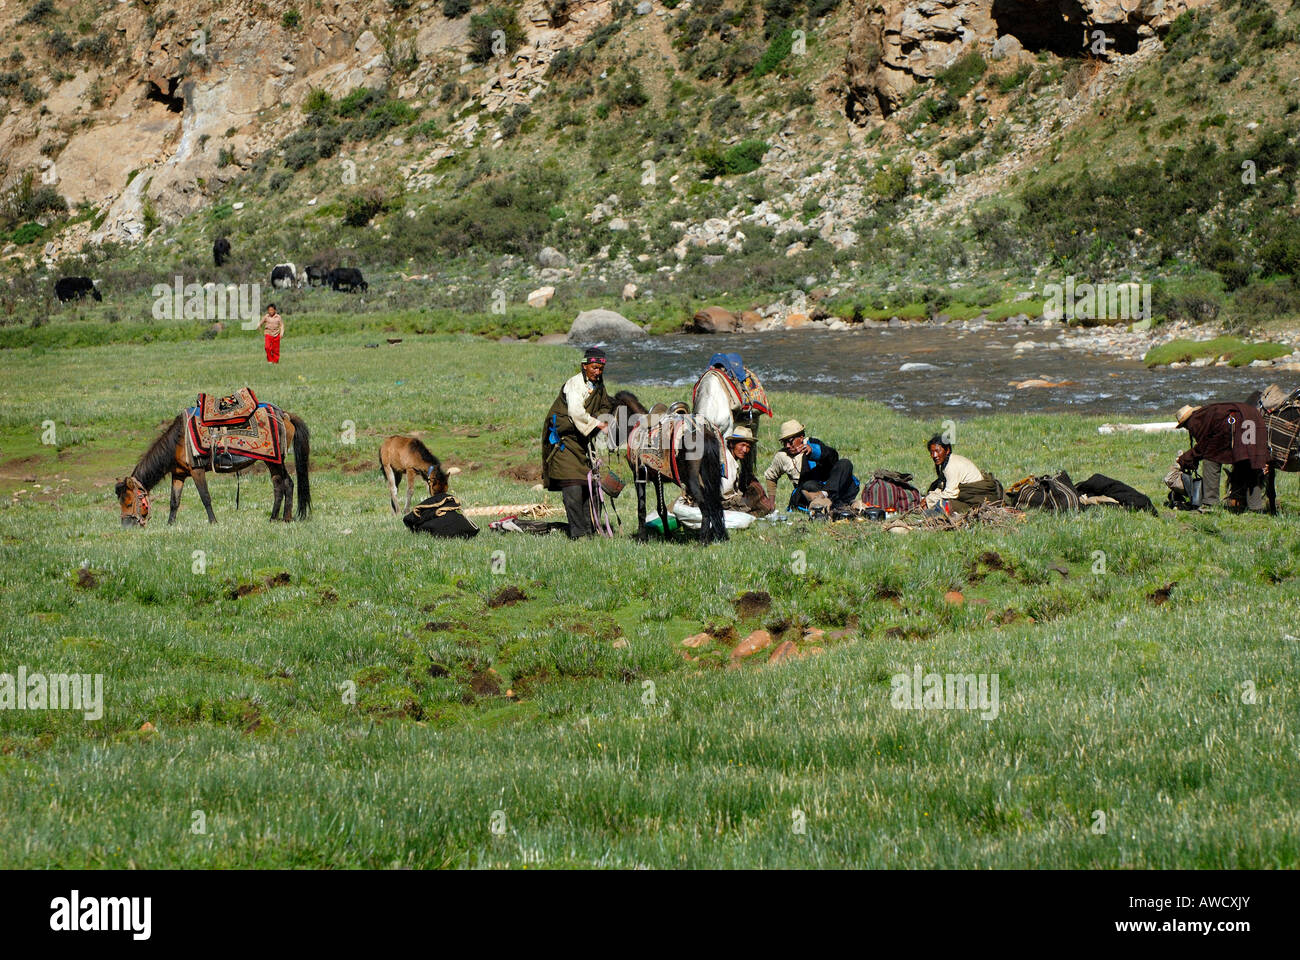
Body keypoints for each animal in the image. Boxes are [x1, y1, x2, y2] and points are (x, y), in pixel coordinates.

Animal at [115, 408, 311, 526]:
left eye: (129, 502)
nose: (126, 526)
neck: (178, 441)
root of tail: (284, 414)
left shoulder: (197, 471)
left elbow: (205, 497)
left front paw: (213, 522)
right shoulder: (178, 475)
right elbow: (174, 501)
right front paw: (170, 524)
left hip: (274, 461)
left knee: (285, 484)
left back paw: (280, 518)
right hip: (273, 461)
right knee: (282, 484)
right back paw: (279, 518)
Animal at [606, 390, 728, 545]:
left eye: (611, 414)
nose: (609, 444)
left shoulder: (639, 476)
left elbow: (641, 509)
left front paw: (642, 538)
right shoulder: (657, 479)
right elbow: (661, 509)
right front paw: (668, 536)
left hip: (692, 482)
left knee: (705, 507)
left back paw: (702, 540)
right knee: (715, 505)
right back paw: (718, 537)